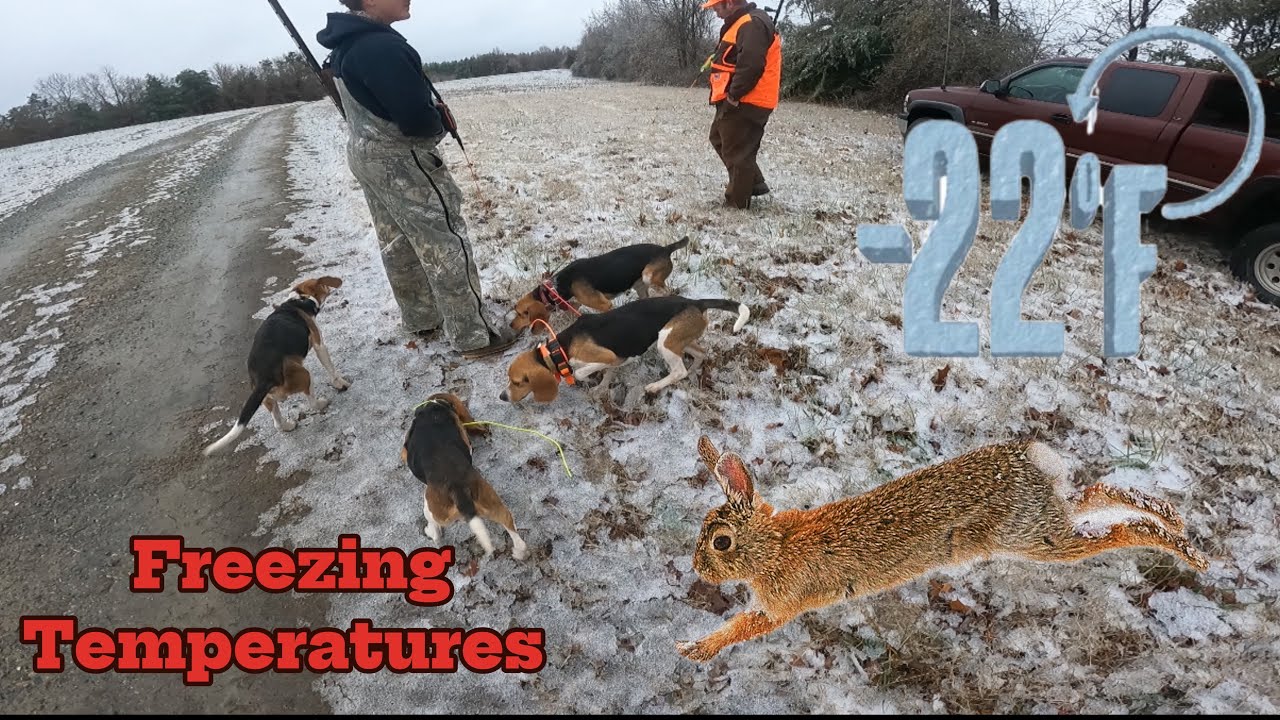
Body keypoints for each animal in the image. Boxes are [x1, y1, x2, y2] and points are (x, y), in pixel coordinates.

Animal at [676, 435, 1209, 663]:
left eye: (721, 542)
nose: (699, 570)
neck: (774, 546)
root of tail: (1037, 462)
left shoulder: (780, 605)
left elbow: (743, 628)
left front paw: (693, 650)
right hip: (1048, 519)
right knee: (1096, 495)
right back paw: (1175, 519)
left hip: (1033, 538)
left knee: (1116, 534)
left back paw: (1190, 552)